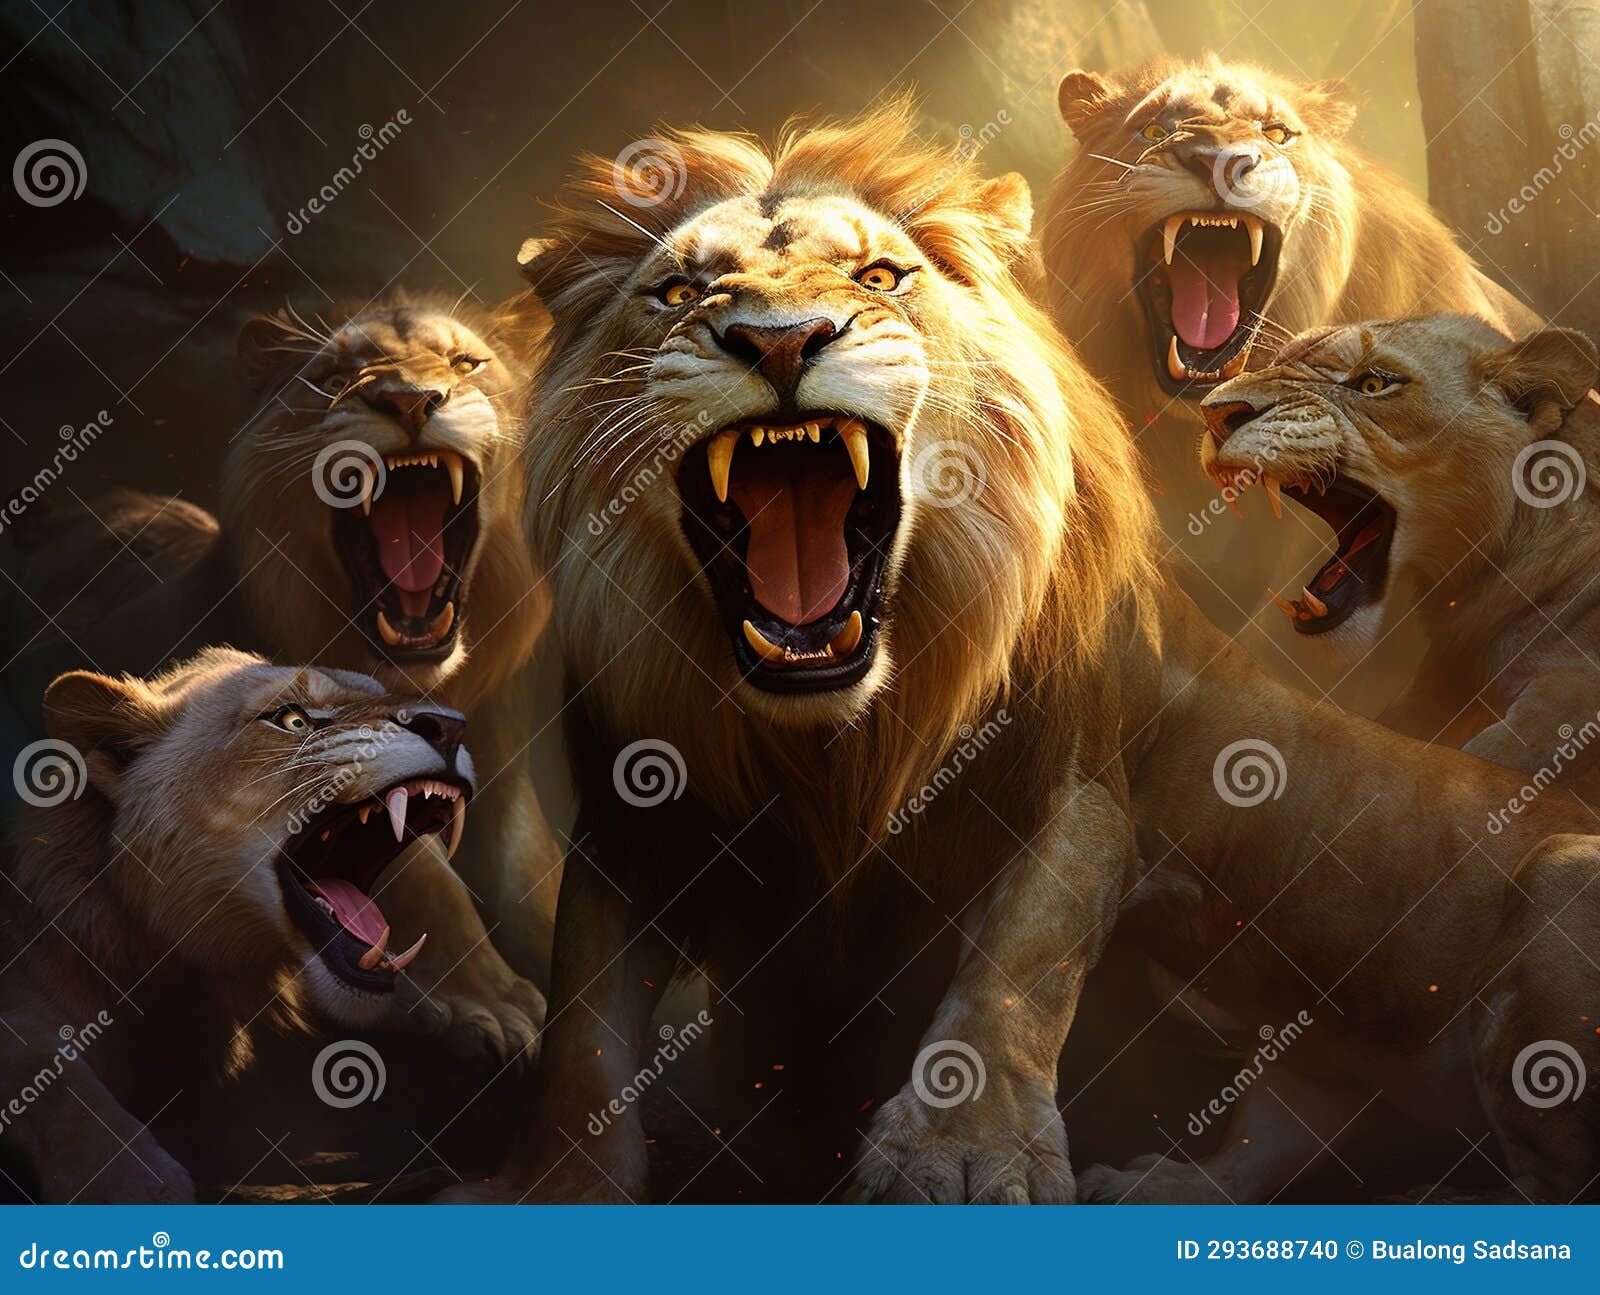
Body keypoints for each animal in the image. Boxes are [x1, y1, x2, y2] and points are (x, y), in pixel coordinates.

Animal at [5, 293, 562, 1006]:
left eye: (467, 363)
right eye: (332, 379)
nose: (410, 400)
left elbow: (532, 877)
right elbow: (417, 864)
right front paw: (491, 1001)